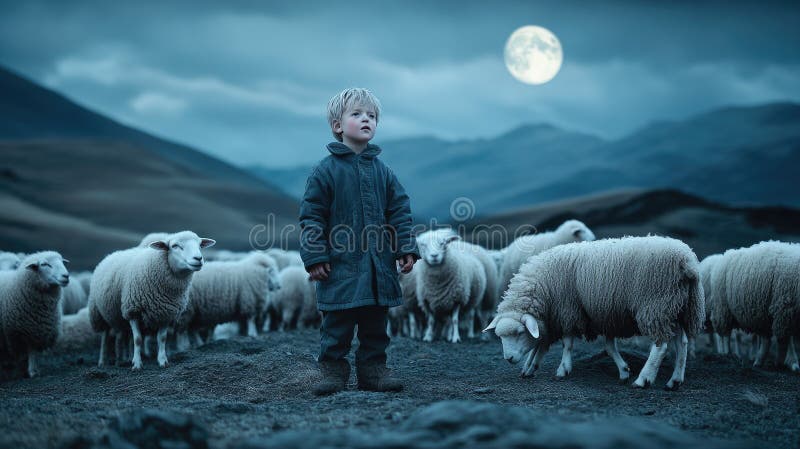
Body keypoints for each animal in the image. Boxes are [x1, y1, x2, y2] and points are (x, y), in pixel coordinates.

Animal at [89, 231, 215, 370]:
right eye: (175, 246)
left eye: (200, 245)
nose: (198, 259)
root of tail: (111, 254)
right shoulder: (132, 311)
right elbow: (138, 339)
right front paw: (137, 364)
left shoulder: (166, 313)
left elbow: (162, 338)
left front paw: (162, 361)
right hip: (99, 315)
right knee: (105, 338)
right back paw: (103, 361)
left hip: (119, 319)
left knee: (123, 337)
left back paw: (124, 358)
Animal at [484, 236, 704, 390]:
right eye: (500, 336)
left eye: (519, 333)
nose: (508, 358)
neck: (544, 286)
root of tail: (687, 261)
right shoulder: (598, 316)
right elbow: (607, 346)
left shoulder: (568, 311)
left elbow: (567, 344)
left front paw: (563, 369)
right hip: (675, 308)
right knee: (682, 343)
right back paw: (674, 381)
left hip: (655, 306)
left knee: (661, 346)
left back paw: (643, 379)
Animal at [709, 241, 800, 371]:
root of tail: (727, 253)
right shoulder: (784, 311)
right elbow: (783, 342)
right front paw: (780, 363)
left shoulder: (788, 315)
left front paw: (791, 363)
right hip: (723, 308)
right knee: (726, 334)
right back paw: (727, 355)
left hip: (762, 312)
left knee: (765, 338)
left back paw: (759, 360)